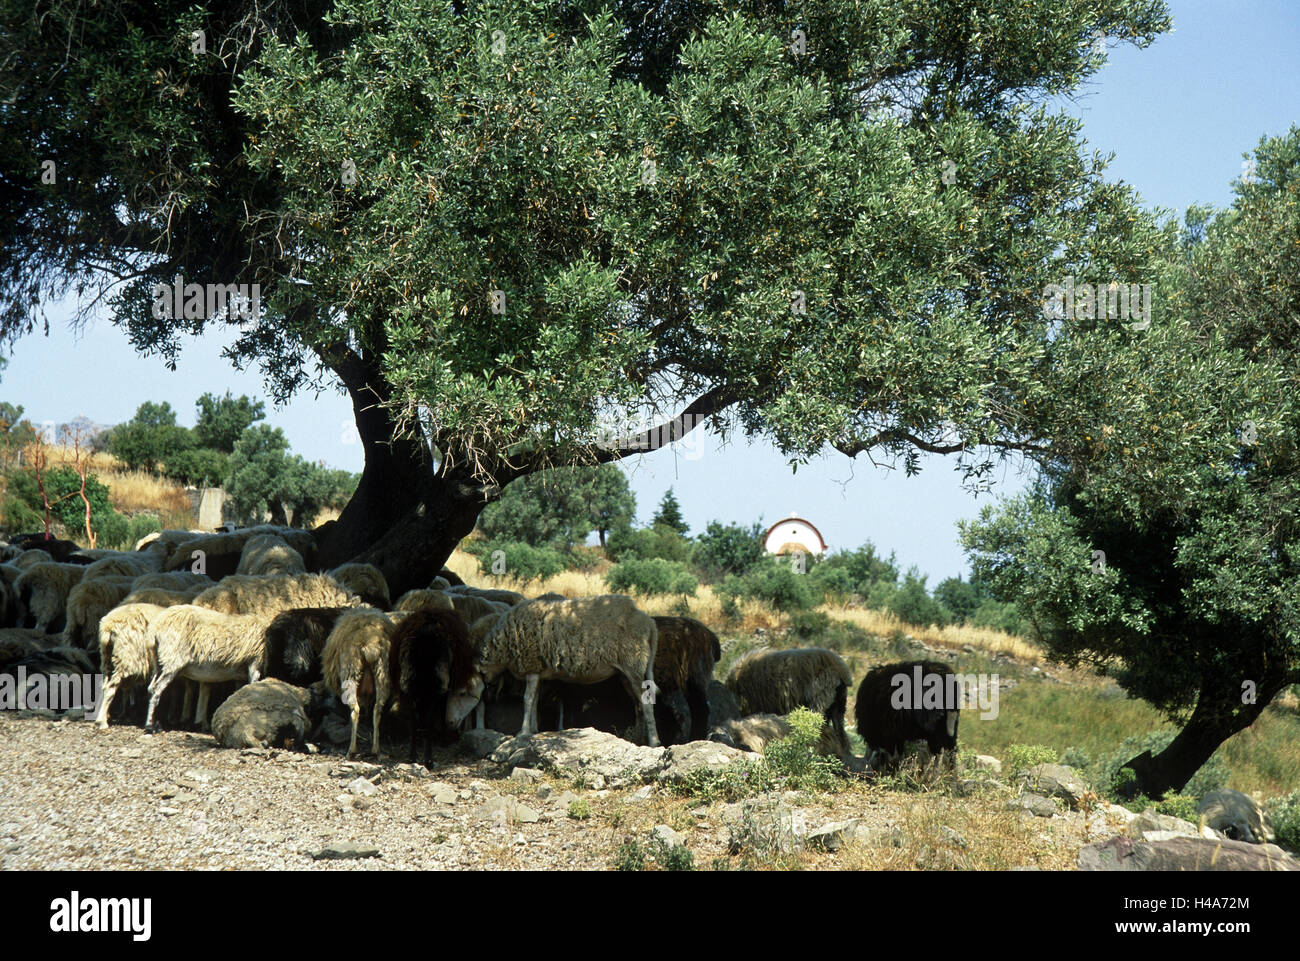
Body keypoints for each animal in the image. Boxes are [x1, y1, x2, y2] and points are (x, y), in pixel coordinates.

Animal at [321, 607, 401, 757]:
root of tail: (369, 644)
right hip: (383, 673)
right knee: (377, 709)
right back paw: (375, 749)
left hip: (350, 673)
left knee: (355, 709)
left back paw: (352, 750)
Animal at [388, 609, 484, 766]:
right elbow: (442, 710)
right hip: (437, 683)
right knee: (430, 718)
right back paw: (428, 759)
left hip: (409, 682)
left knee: (414, 718)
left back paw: (413, 756)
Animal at [476, 594, 660, 746]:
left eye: (486, 681)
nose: (485, 699)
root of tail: (649, 623)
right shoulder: (538, 671)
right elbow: (535, 700)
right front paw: (533, 730)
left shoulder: (532, 666)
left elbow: (527, 699)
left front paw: (523, 732)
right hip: (627, 672)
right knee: (638, 704)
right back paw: (638, 736)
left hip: (634, 664)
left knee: (646, 702)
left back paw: (653, 741)